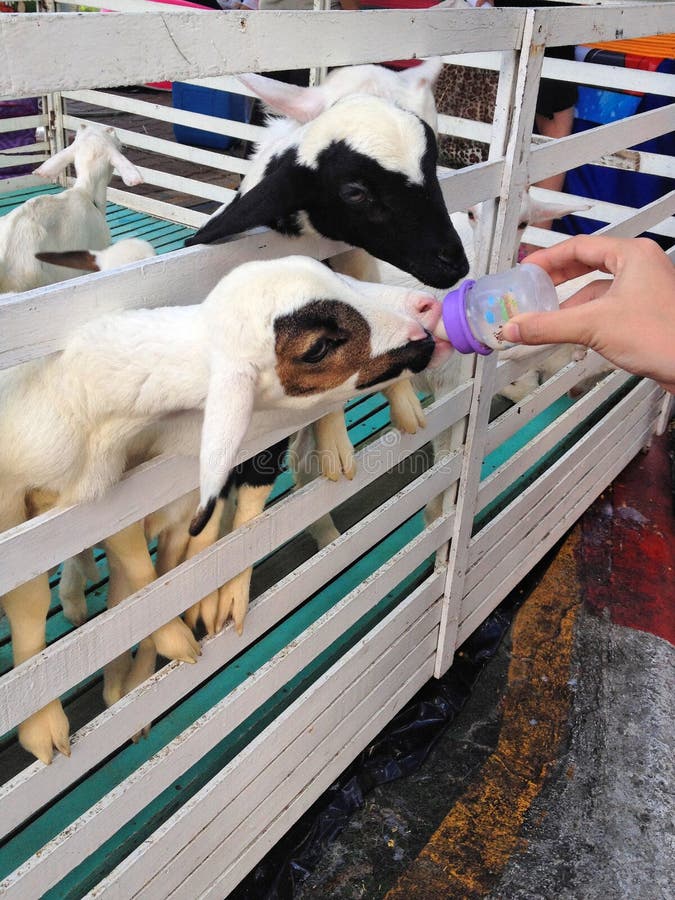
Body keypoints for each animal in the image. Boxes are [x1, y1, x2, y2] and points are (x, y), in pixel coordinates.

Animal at [0, 254, 444, 763]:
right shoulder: (27, 516)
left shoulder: (136, 501)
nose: (429, 311)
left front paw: (149, 664)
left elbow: (154, 577)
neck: (75, 394)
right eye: (317, 348)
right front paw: (45, 728)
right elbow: (36, 595)